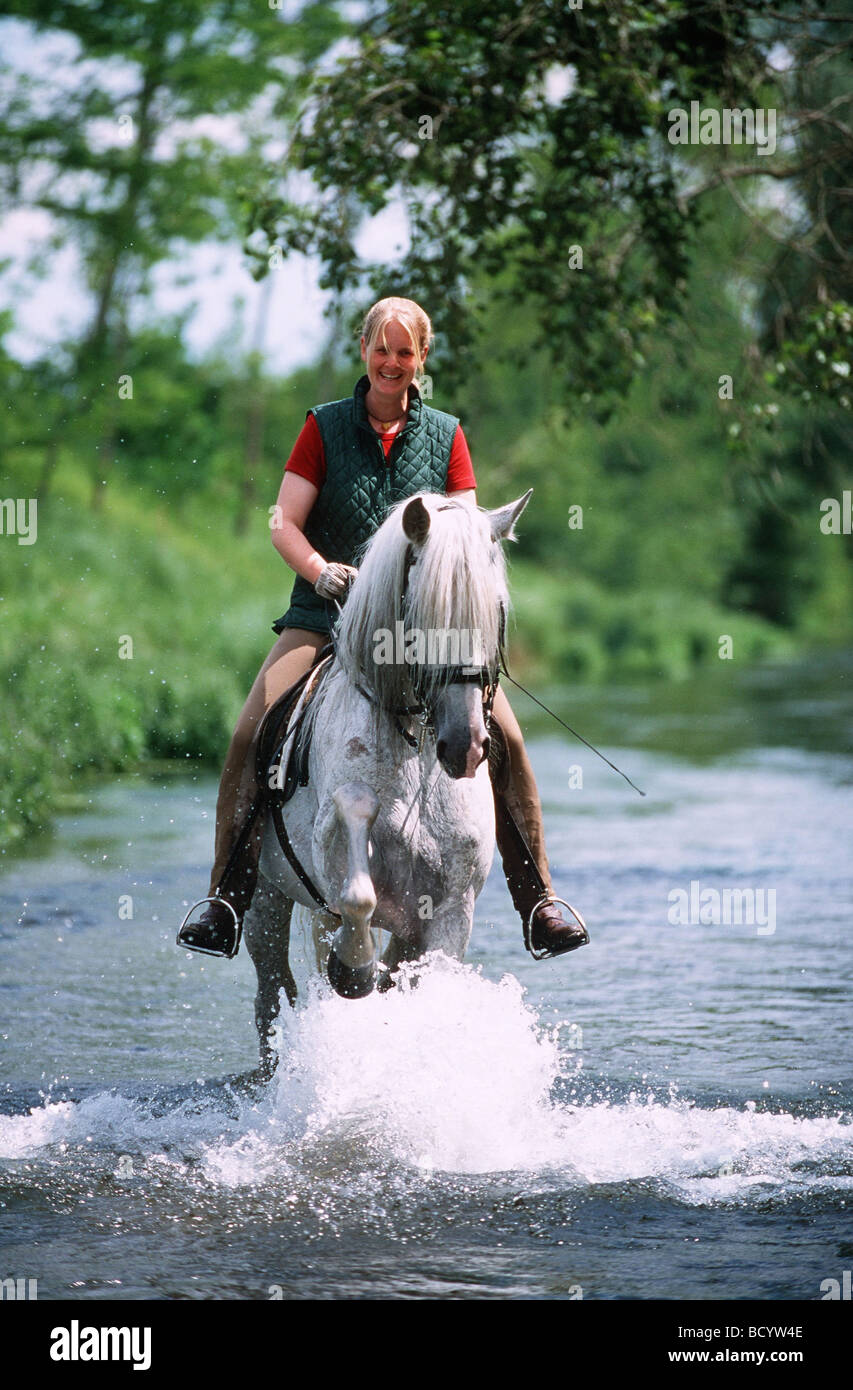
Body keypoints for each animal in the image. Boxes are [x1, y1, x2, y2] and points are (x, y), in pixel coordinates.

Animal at [244, 489, 532, 1072]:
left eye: (495, 611)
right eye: (422, 614)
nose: (465, 746)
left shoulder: (447, 916)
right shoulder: (335, 882)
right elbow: (356, 882)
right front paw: (353, 968)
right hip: (268, 900)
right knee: (273, 996)